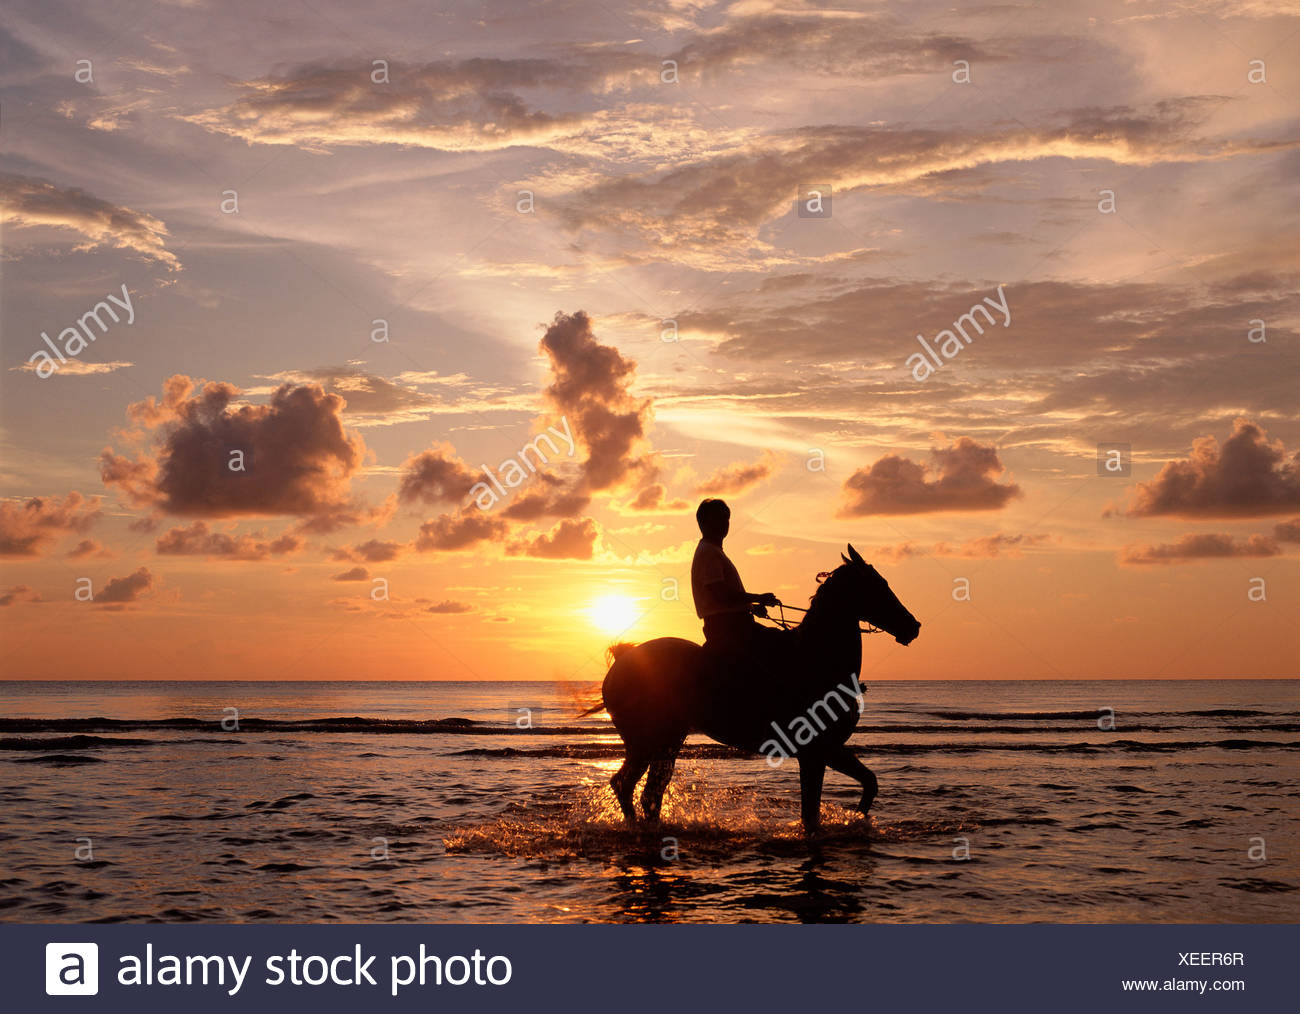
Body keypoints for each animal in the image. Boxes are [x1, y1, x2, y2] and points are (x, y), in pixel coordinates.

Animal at [598, 544, 920, 834]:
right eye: (879, 584)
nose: (913, 626)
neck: (816, 659)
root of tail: (623, 659)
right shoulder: (815, 752)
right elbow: (811, 814)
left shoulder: (829, 749)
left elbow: (869, 782)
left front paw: (857, 820)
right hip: (646, 742)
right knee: (628, 786)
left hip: (667, 741)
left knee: (648, 792)